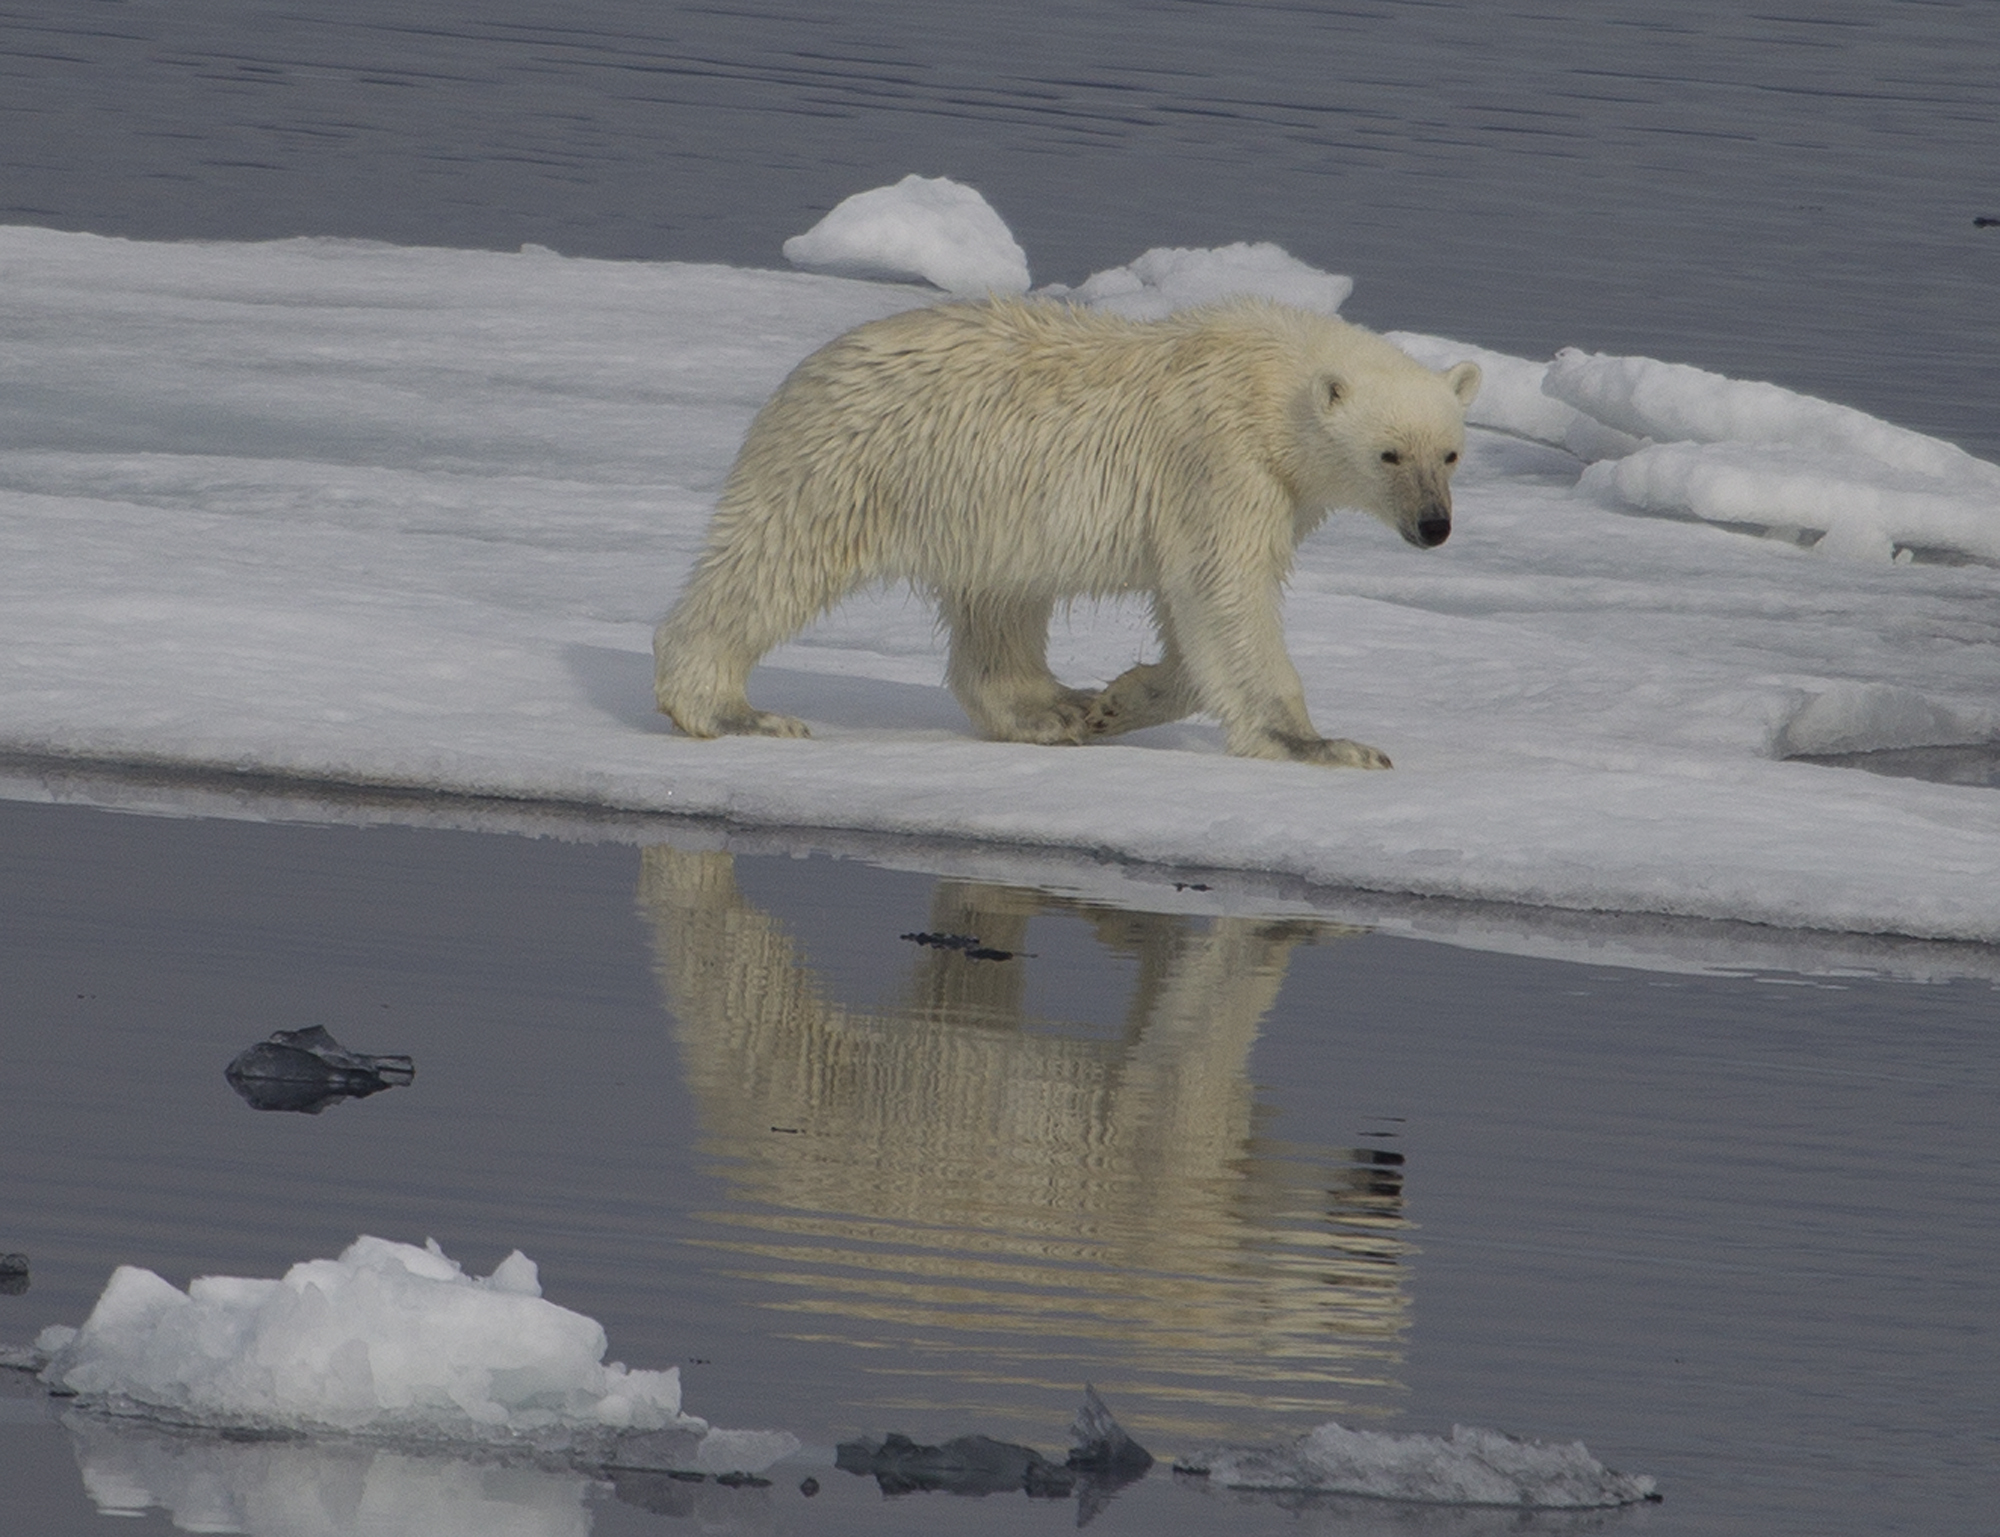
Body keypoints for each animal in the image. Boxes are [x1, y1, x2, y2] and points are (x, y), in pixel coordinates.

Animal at [653, 297, 1479, 767]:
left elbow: (1195, 610)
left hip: (984, 506)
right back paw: (732, 710)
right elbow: (1226, 593)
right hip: (854, 462)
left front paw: (1116, 701)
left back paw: (1051, 709)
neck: (1270, 383)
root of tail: (811, 366)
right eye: (1389, 452)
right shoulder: (1221, 460)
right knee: (774, 560)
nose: (1434, 525)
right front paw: (1326, 745)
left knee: (1000, 605)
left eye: (1450, 452)